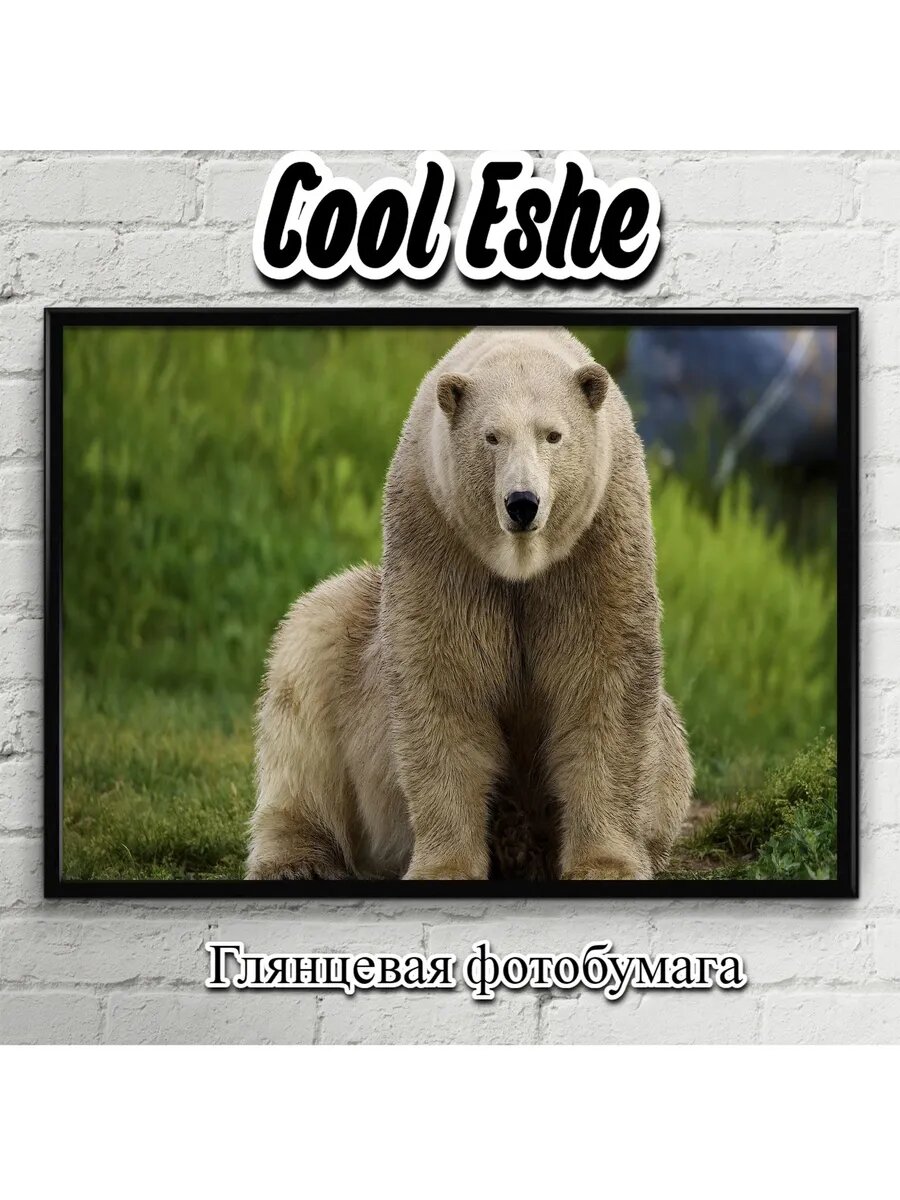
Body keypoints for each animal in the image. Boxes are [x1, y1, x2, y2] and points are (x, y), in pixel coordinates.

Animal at [246, 326, 693, 882]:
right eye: (491, 436)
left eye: (553, 435)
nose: (522, 503)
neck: (520, 566)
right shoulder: (440, 538)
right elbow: (444, 680)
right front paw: (447, 867)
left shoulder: (599, 541)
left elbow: (603, 677)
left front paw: (605, 864)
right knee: (305, 667)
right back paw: (296, 860)